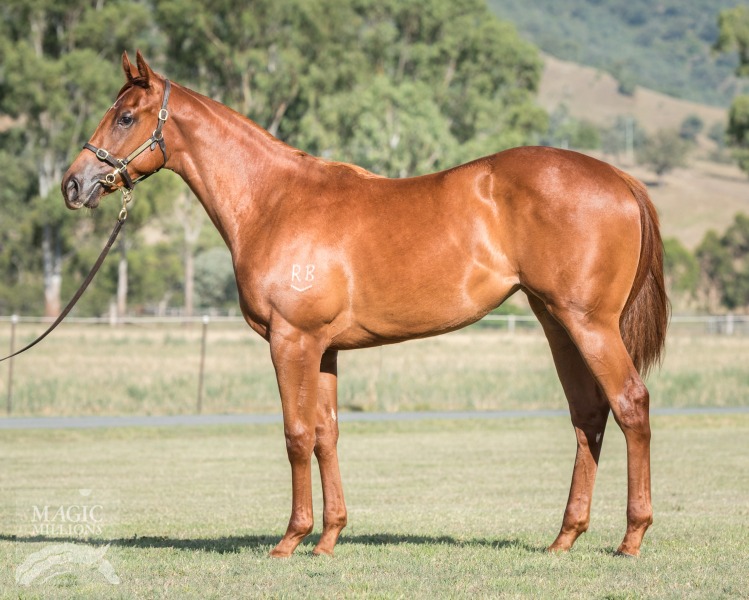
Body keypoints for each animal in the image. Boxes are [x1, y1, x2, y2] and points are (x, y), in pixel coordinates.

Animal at [62, 51, 668, 558]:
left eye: (125, 117)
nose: (73, 184)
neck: (274, 200)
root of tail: (619, 178)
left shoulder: (291, 341)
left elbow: (296, 435)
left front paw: (291, 539)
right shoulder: (324, 349)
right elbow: (326, 434)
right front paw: (328, 539)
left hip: (589, 325)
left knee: (630, 403)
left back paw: (631, 538)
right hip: (557, 324)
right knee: (588, 415)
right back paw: (565, 538)